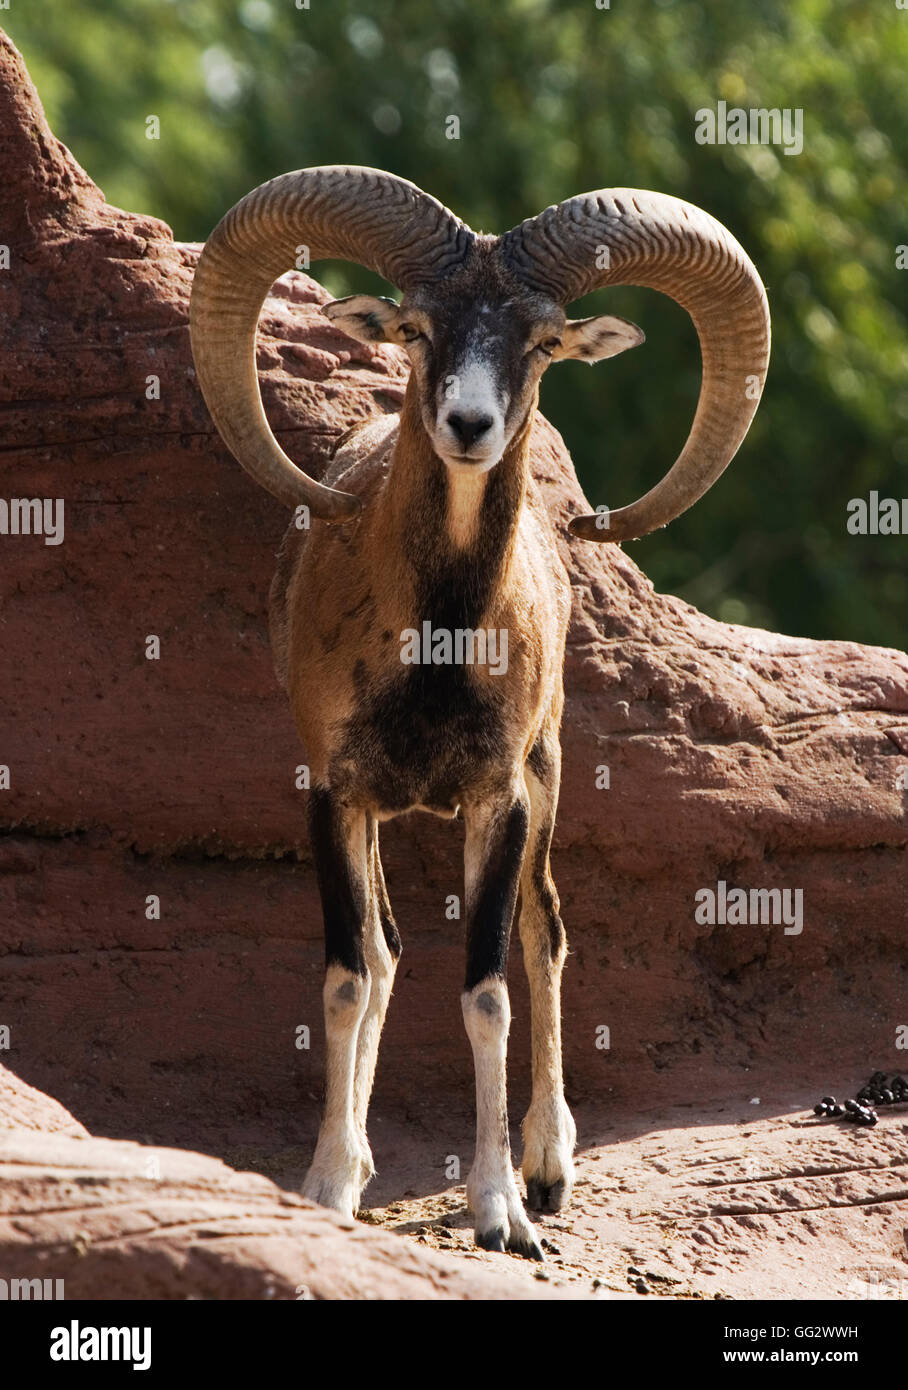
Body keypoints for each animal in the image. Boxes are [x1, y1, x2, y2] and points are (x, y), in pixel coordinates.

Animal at [189, 167, 770, 1259]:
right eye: (417, 328)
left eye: (539, 342)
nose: (467, 424)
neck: (440, 642)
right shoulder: (336, 797)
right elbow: (350, 977)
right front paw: (329, 1187)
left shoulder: (498, 801)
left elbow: (489, 990)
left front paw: (503, 1213)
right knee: (385, 952)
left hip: (544, 786)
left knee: (543, 935)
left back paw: (549, 1166)